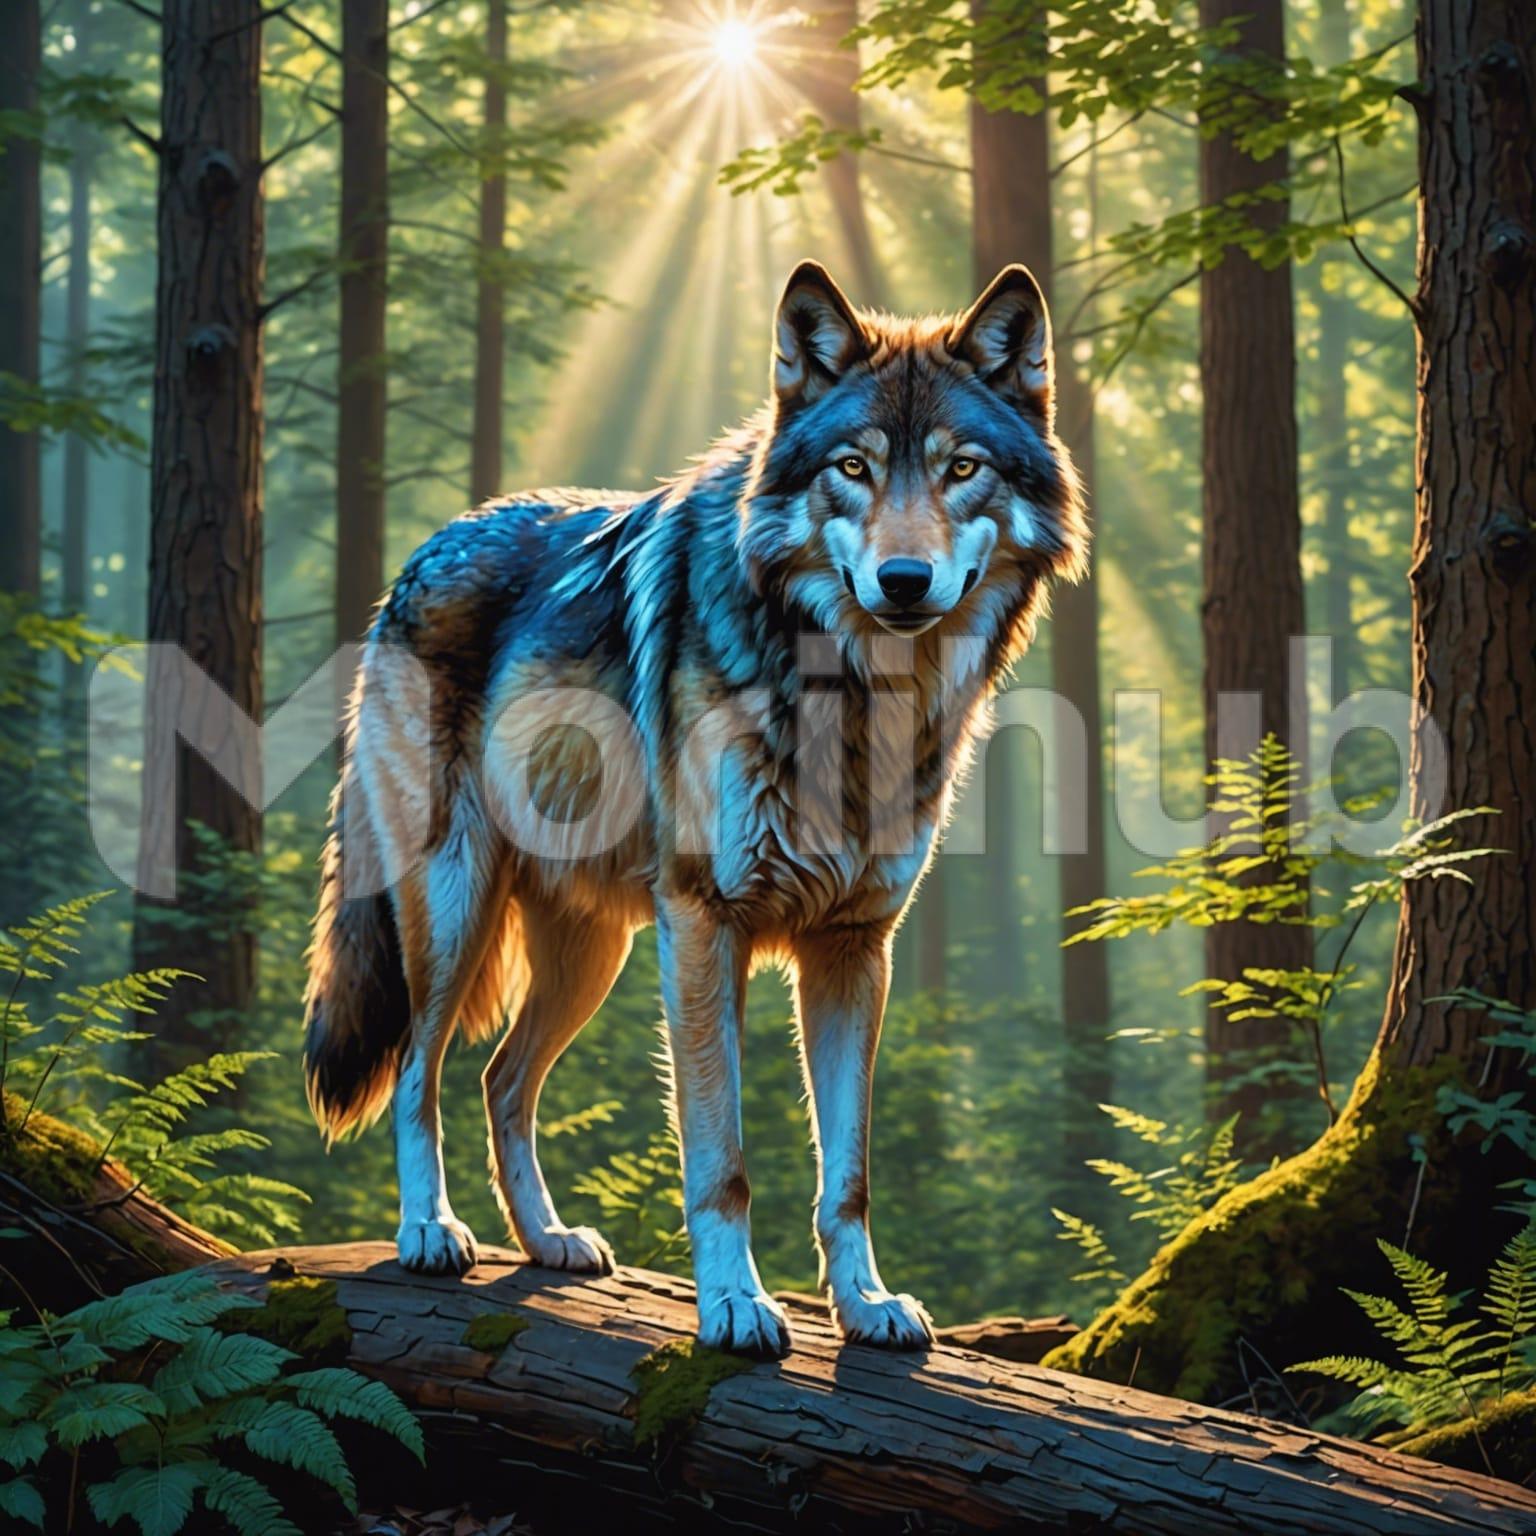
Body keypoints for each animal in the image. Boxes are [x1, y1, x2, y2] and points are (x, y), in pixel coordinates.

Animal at [303, 260, 1087, 1358]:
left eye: (961, 468)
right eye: (853, 467)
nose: (903, 580)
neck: (856, 702)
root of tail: (425, 551)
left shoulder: (854, 947)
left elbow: (849, 1173)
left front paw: (866, 1304)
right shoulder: (708, 926)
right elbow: (725, 1160)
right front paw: (735, 1305)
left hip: (595, 954)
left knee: (502, 1078)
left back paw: (547, 1241)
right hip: (458, 912)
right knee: (420, 1072)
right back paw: (430, 1230)